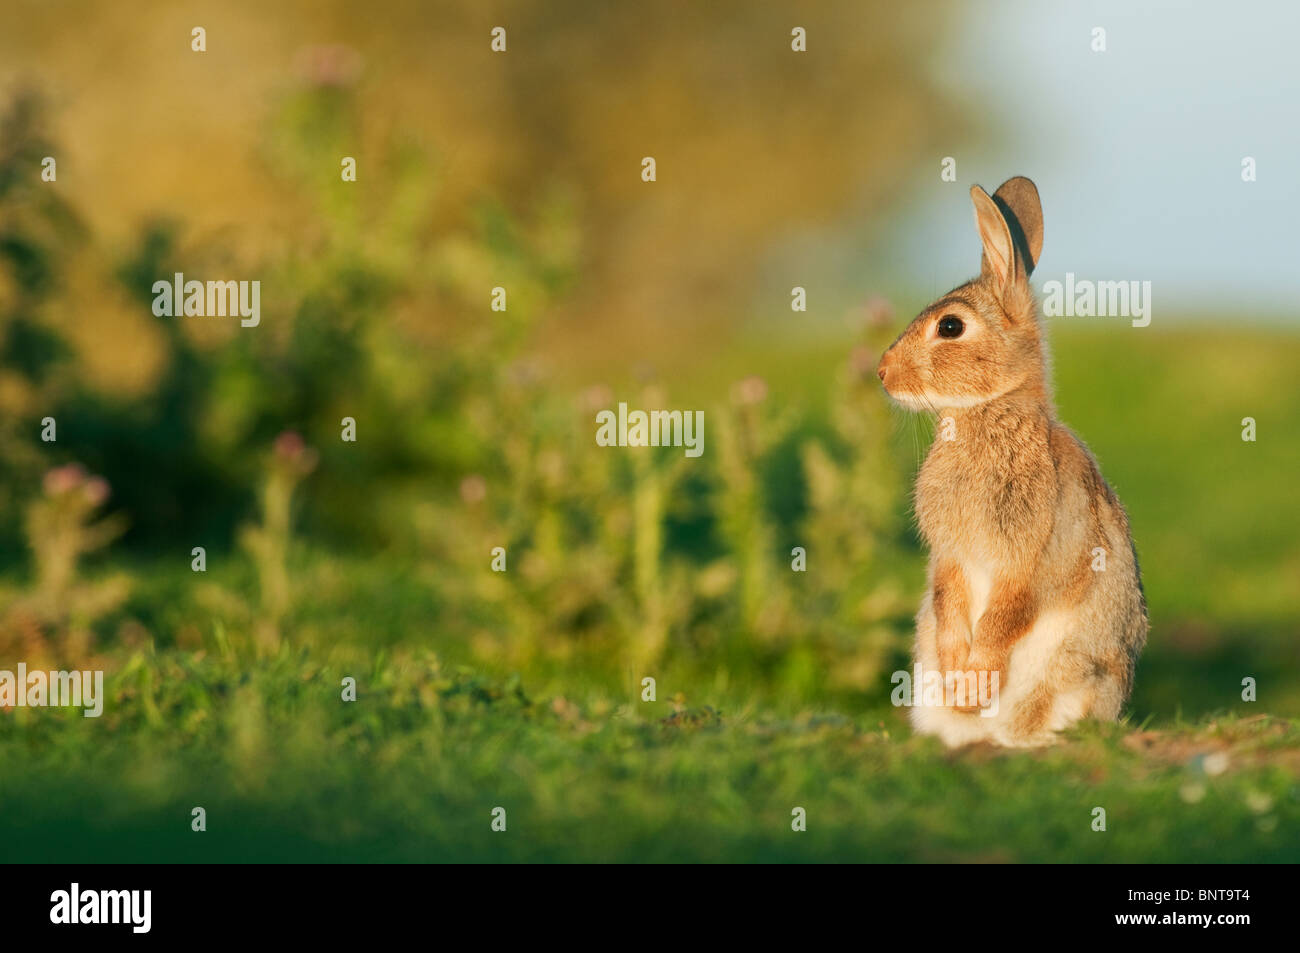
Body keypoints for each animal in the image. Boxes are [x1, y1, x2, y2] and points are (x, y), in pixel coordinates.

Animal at [875, 176, 1148, 747]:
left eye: (950, 327)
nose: (882, 372)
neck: (988, 412)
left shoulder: (1034, 553)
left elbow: (1007, 615)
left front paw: (975, 683)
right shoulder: (951, 555)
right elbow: (948, 600)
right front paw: (961, 681)